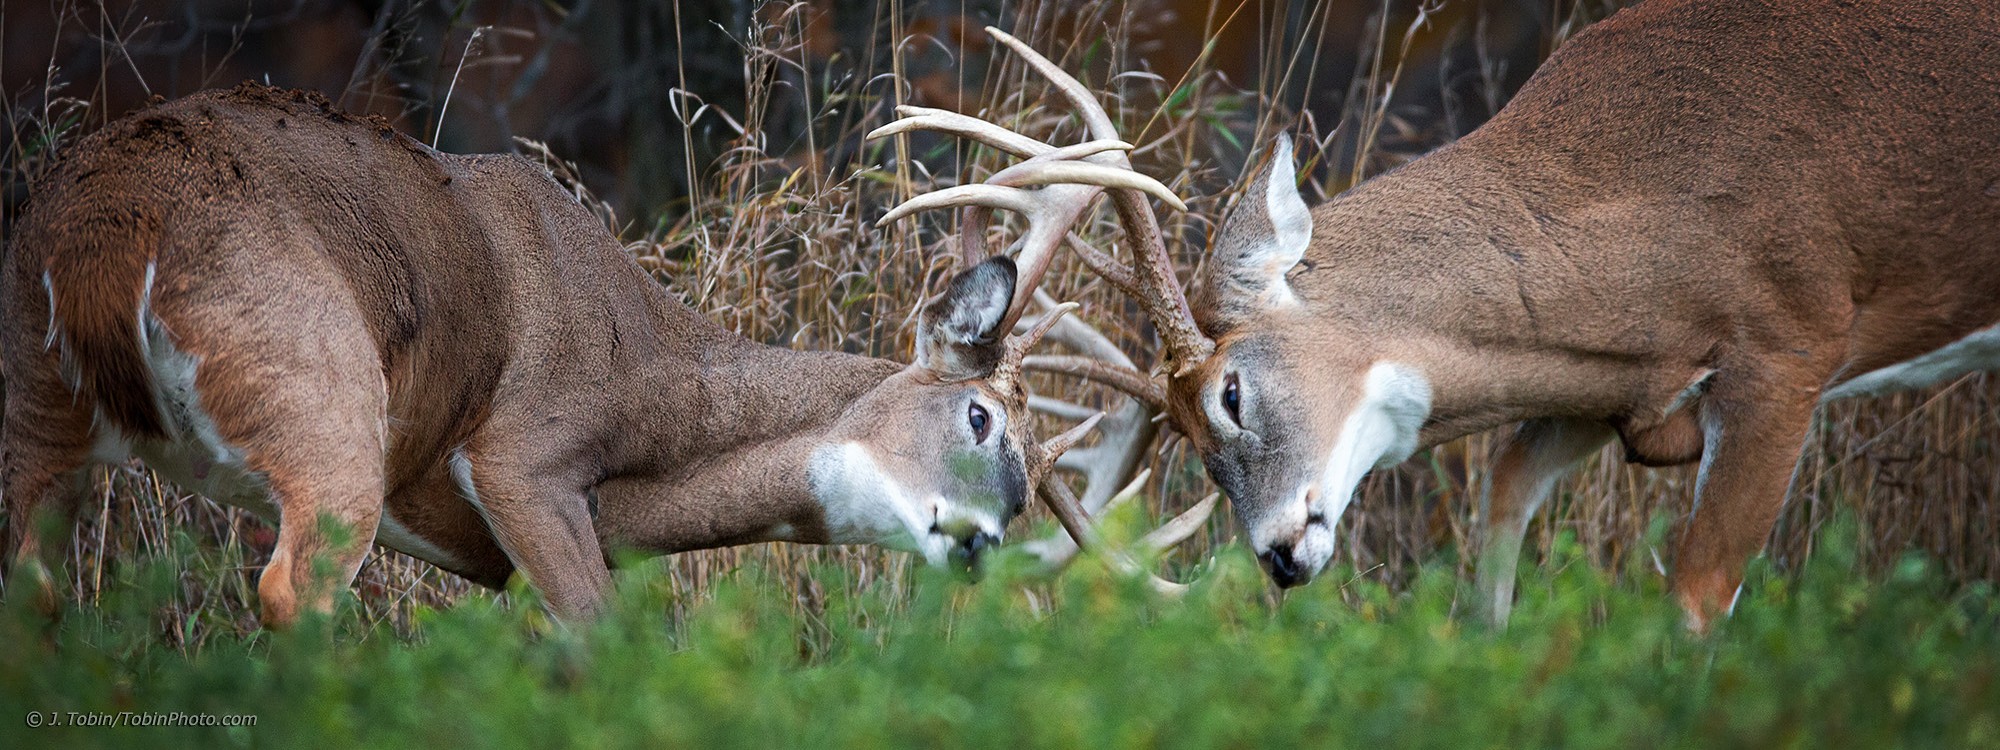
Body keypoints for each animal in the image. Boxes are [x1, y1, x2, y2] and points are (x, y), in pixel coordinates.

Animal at [0, 81, 1194, 627]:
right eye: (981, 417)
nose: (982, 542)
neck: (654, 392)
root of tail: (108, 230)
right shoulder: (521, 457)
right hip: (321, 389)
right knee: (295, 586)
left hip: (35, 404)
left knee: (32, 584)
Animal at [890, 1, 2000, 631]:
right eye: (1191, 452)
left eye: (1232, 395)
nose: (1278, 557)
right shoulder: (1597, 393)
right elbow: (1500, 515)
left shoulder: (1790, 346)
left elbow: (1693, 597)